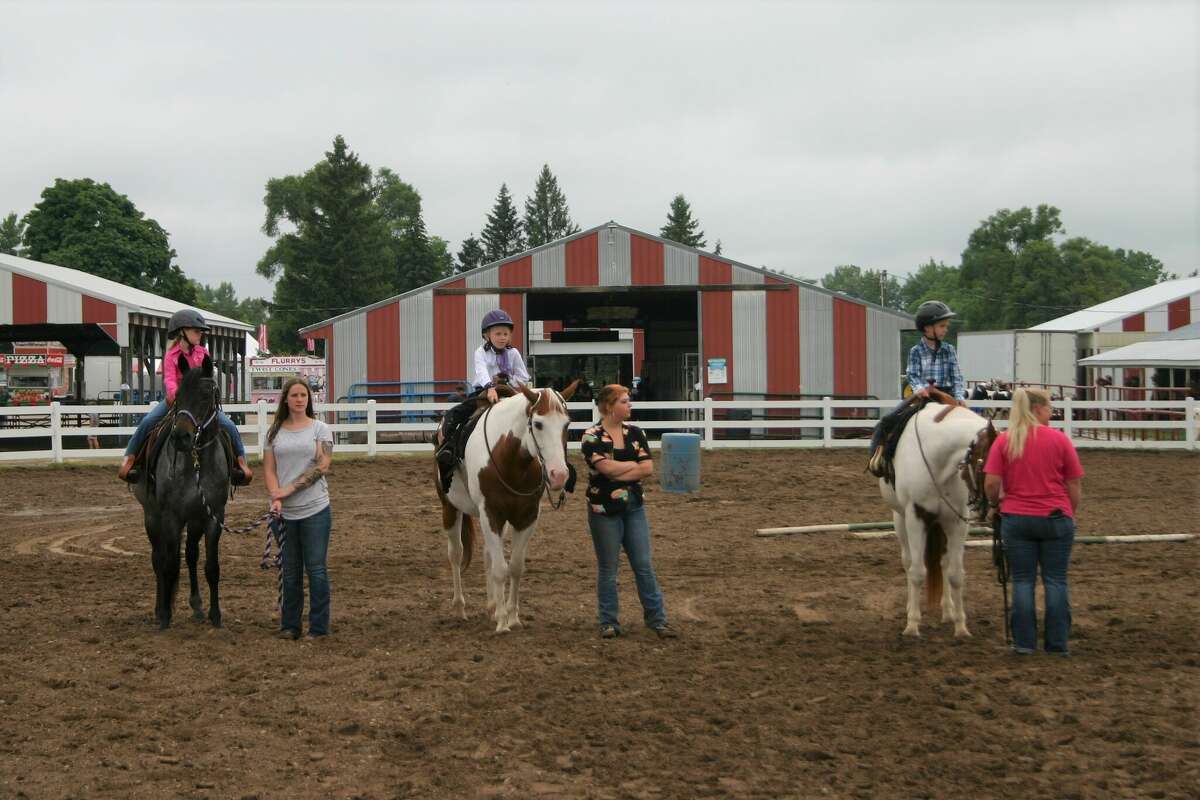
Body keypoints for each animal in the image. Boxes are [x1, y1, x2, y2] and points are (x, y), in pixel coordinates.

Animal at [132, 353, 231, 630]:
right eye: (178, 395)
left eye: (206, 395)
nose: (181, 437)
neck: (196, 463)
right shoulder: (170, 517)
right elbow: (169, 566)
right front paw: (165, 616)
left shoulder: (213, 516)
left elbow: (211, 567)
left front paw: (215, 615)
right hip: (152, 517)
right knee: (159, 559)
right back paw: (159, 609)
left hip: (194, 520)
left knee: (190, 555)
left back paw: (196, 605)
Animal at [435, 380, 580, 633]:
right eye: (538, 424)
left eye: (567, 424)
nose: (559, 475)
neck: (510, 459)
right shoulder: (490, 513)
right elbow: (501, 569)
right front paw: (503, 622)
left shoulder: (527, 517)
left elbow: (515, 567)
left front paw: (511, 616)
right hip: (450, 508)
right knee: (456, 554)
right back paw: (460, 608)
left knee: (487, 556)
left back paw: (492, 606)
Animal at [879, 395, 996, 638]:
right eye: (987, 464)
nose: (994, 510)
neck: (939, 461)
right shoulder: (916, 516)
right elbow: (917, 571)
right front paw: (912, 625)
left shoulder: (956, 521)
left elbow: (955, 574)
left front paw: (961, 626)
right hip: (900, 519)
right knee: (908, 562)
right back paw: (910, 608)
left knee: (943, 563)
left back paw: (948, 611)